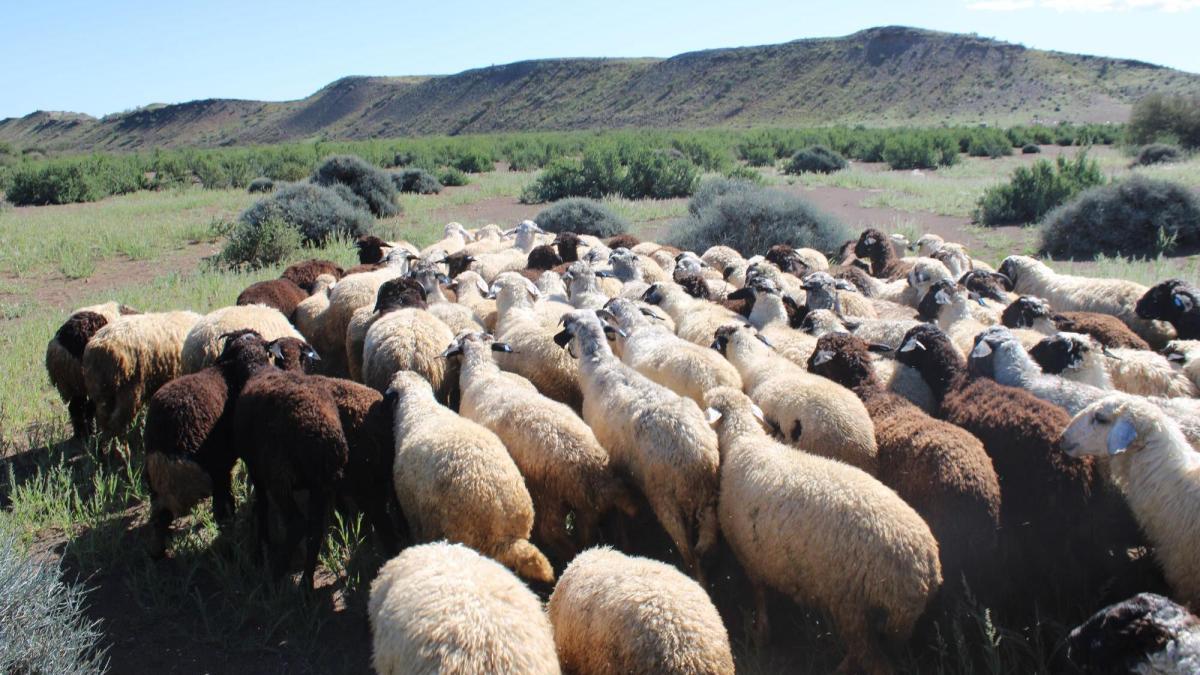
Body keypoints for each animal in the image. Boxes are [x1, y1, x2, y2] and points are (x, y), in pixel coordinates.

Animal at [446, 331, 635, 559]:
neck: (482, 375)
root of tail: (595, 470)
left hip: (548, 497)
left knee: (554, 534)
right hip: (586, 508)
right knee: (587, 534)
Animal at [705, 386, 941, 675]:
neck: (743, 441)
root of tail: (927, 566)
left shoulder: (748, 555)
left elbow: (759, 597)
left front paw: (761, 635)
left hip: (855, 605)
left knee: (873, 660)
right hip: (891, 622)